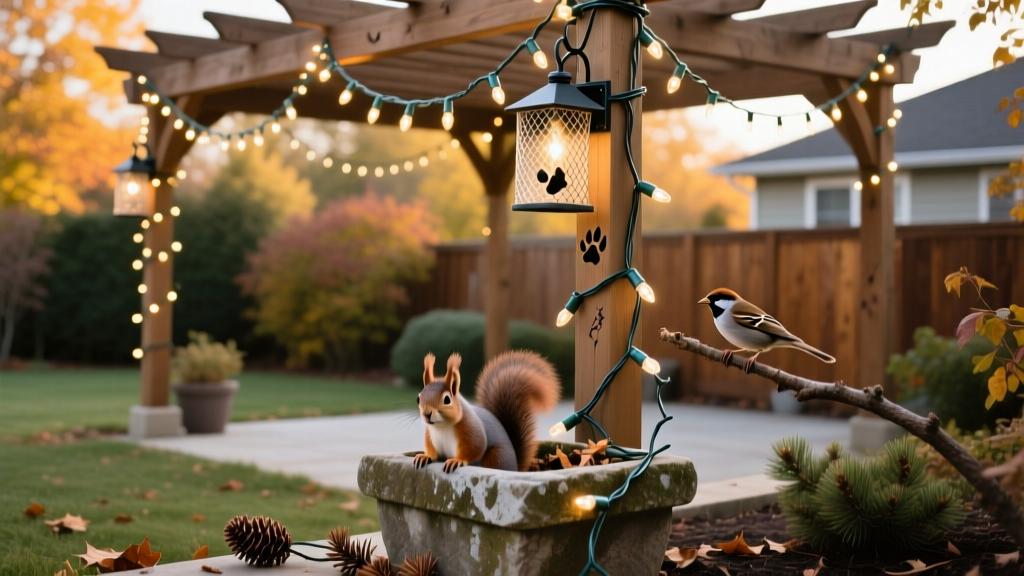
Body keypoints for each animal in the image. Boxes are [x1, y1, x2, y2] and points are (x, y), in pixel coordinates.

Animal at [413, 350, 561, 473]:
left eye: (447, 399)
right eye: (418, 398)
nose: (427, 414)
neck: (442, 426)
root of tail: (515, 468)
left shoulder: (471, 429)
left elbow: (475, 448)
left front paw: (457, 460)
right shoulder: (431, 436)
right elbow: (432, 451)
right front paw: (425, 456)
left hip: (496, 456)